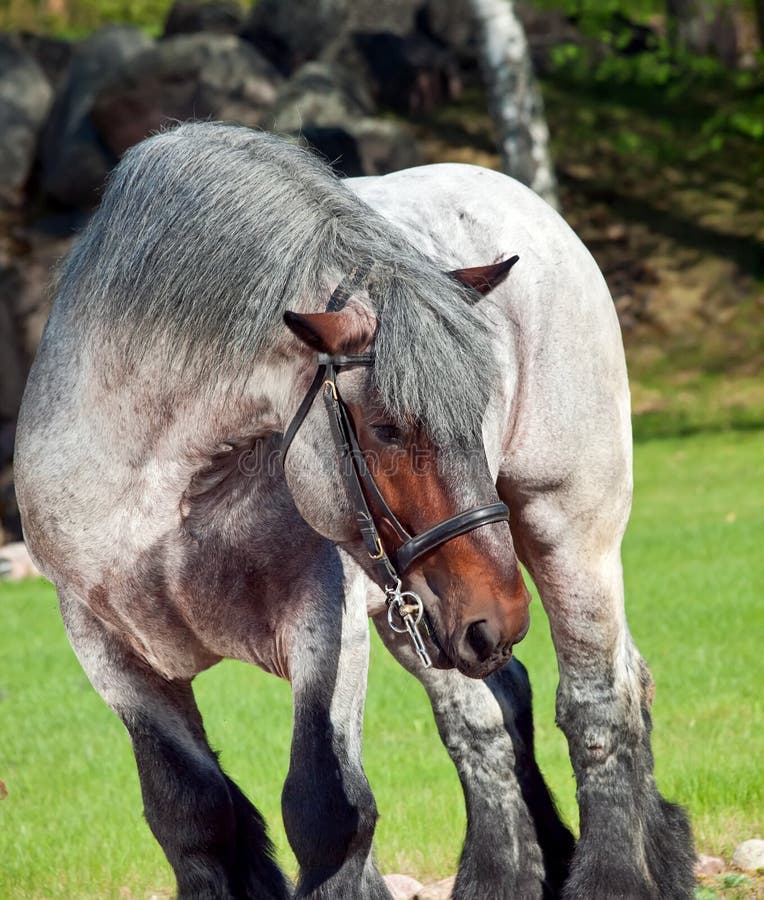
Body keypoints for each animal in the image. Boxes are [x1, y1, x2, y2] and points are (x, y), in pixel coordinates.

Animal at [14, 122, 693, 899]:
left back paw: (614, 873)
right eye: (387, 428)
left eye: (479, 409)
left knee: (598, 702)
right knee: (485, 719)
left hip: (558, 537)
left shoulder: (325, 624)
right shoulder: (109, 652)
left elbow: (327, 810)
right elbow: (193, 816)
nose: (502, 616)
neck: (165, 493)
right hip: (424, 612)